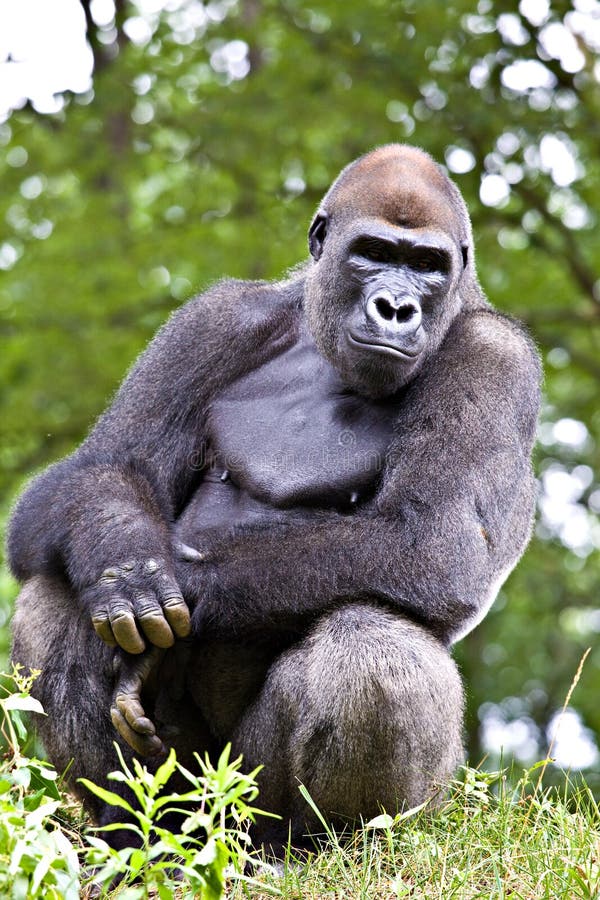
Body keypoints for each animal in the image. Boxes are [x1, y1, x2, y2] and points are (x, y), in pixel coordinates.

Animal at [8, 144, 541, 852]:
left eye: (427, 265)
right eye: (373, 251)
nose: (396, 307)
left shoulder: (496, 359)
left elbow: (432, 541)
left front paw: (182, 584)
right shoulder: (214, 320)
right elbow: (100, 470)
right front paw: (124, 561)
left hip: (268, 796)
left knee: (373, 651)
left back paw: (329, 842)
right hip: (194, 792)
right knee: (55, 591)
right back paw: (137, 833)